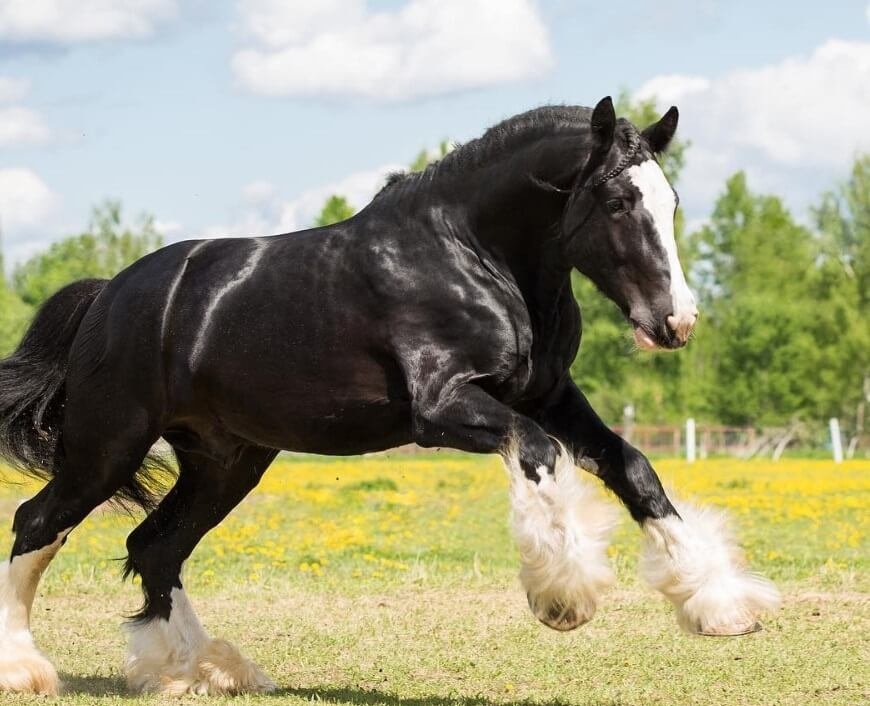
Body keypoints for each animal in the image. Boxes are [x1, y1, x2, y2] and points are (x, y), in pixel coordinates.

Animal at [0, 97, 779, 696]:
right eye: (618, 201)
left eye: (671, 203)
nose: (676, 323)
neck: (472, 255)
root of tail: (110, 294)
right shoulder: (443, 409)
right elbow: (540, 456)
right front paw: (564, 596)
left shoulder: (551, 395)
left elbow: (634, 470)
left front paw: (721, 605)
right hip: (108, 445)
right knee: (38, 524)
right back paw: (28, 670)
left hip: (227, 460)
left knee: (156, 548)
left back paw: (198, 668)